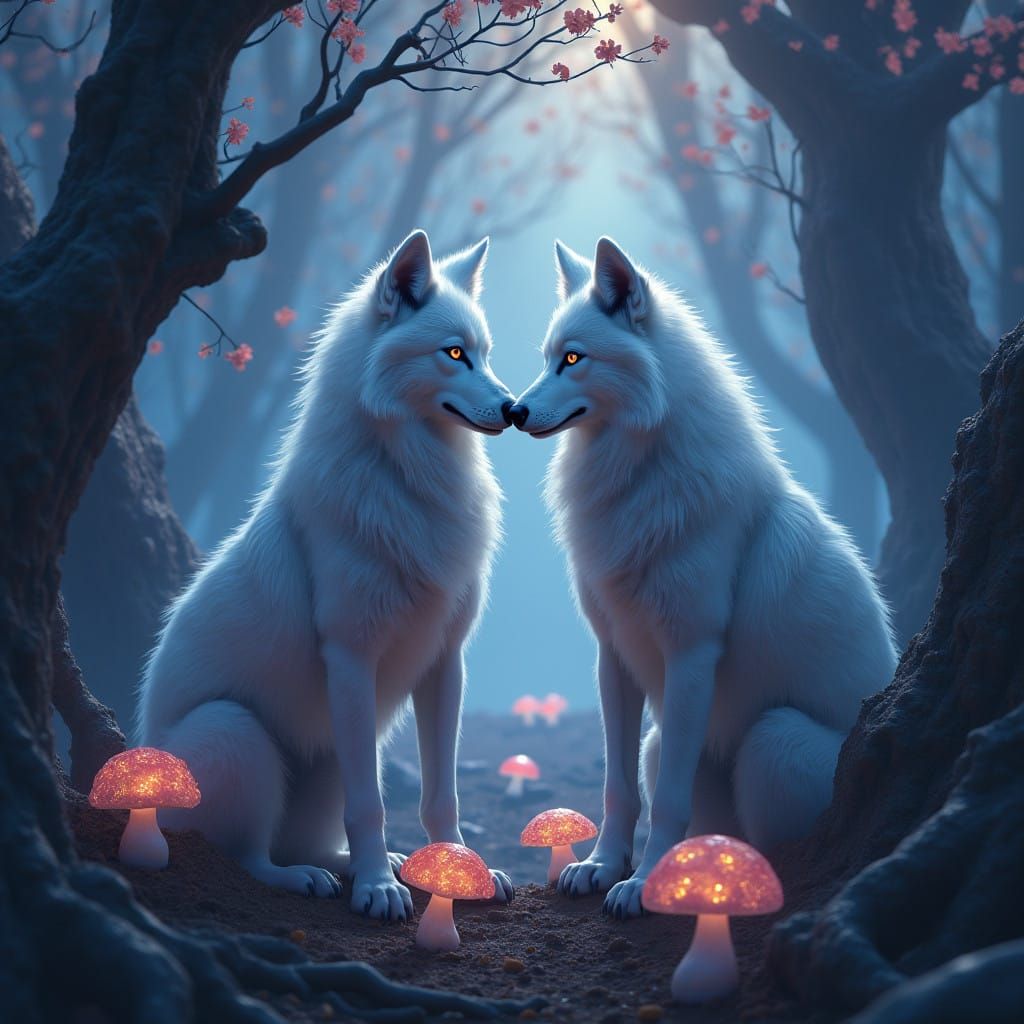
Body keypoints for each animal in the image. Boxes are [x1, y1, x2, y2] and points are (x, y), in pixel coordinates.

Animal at [137, 230, 516, 920]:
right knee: (250, 857)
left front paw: (458, 871)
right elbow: (372, 805)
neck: (407, 479)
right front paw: (378, 891)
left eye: (483, 354)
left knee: (305, 842)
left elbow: (440, 795)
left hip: (330, 757)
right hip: (237, 731)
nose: (515, 407)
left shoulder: (446, 663)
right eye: (454, 353)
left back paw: (365, 865)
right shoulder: (350, 657)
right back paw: (317, 879)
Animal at [509, 238, 897, 918]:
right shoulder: (613, 654)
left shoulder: (691, 654)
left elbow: (667, 801)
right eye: (547, 359)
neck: (641, 474)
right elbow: (618, 789)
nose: (514, 410)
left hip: (773, 740)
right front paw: (602, 867)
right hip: (660, 740)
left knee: (765, 846)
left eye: (573, 359)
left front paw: (644, 885)